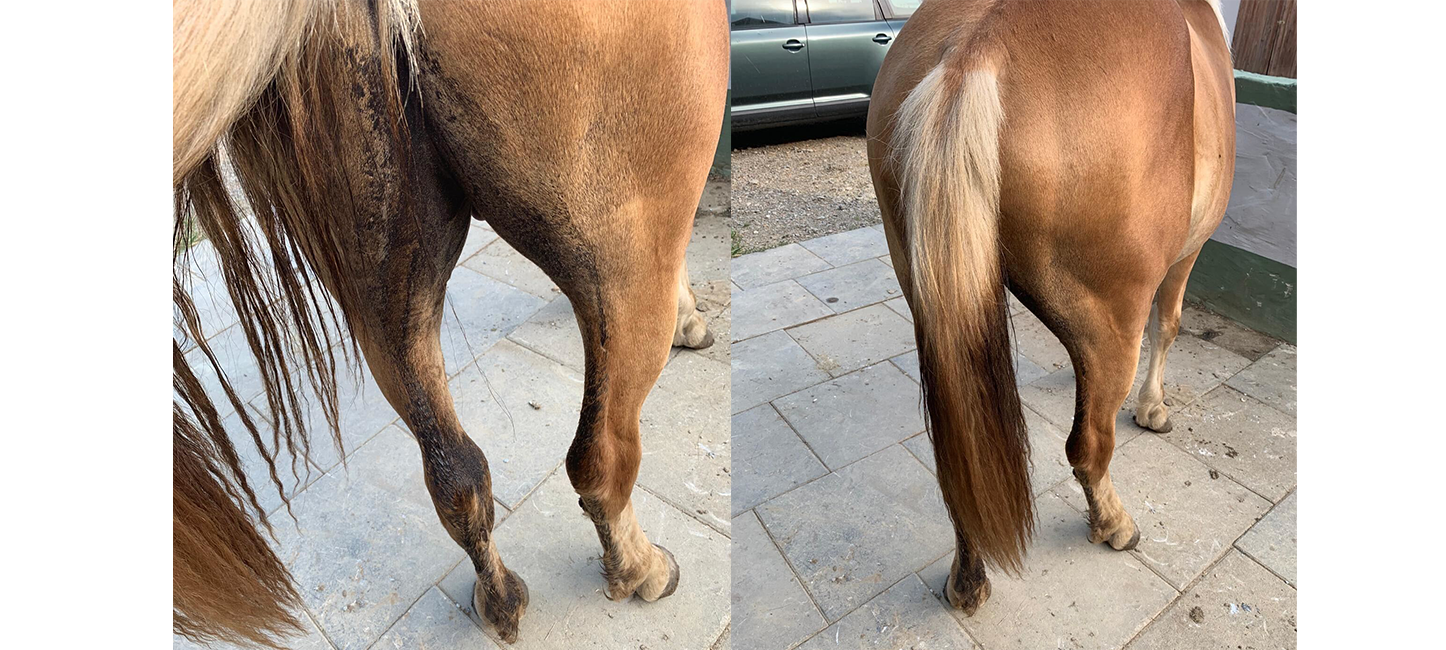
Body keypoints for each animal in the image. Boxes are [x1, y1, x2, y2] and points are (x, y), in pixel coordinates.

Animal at [172, 0, 727, 645]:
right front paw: (691, 320)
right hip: (625, 260)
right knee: (600, 457)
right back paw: (641, 570)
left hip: (384, 273)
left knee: (455, 475)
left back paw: (500, 599)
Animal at [865, 0, 1234, 613]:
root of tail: (977, 48)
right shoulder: (1189, 250)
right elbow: (1169, 324)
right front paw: (1152, 408)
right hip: (1113, 318)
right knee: (1089, 445)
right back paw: (1114, 524)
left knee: (961, 457)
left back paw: (967, 580)